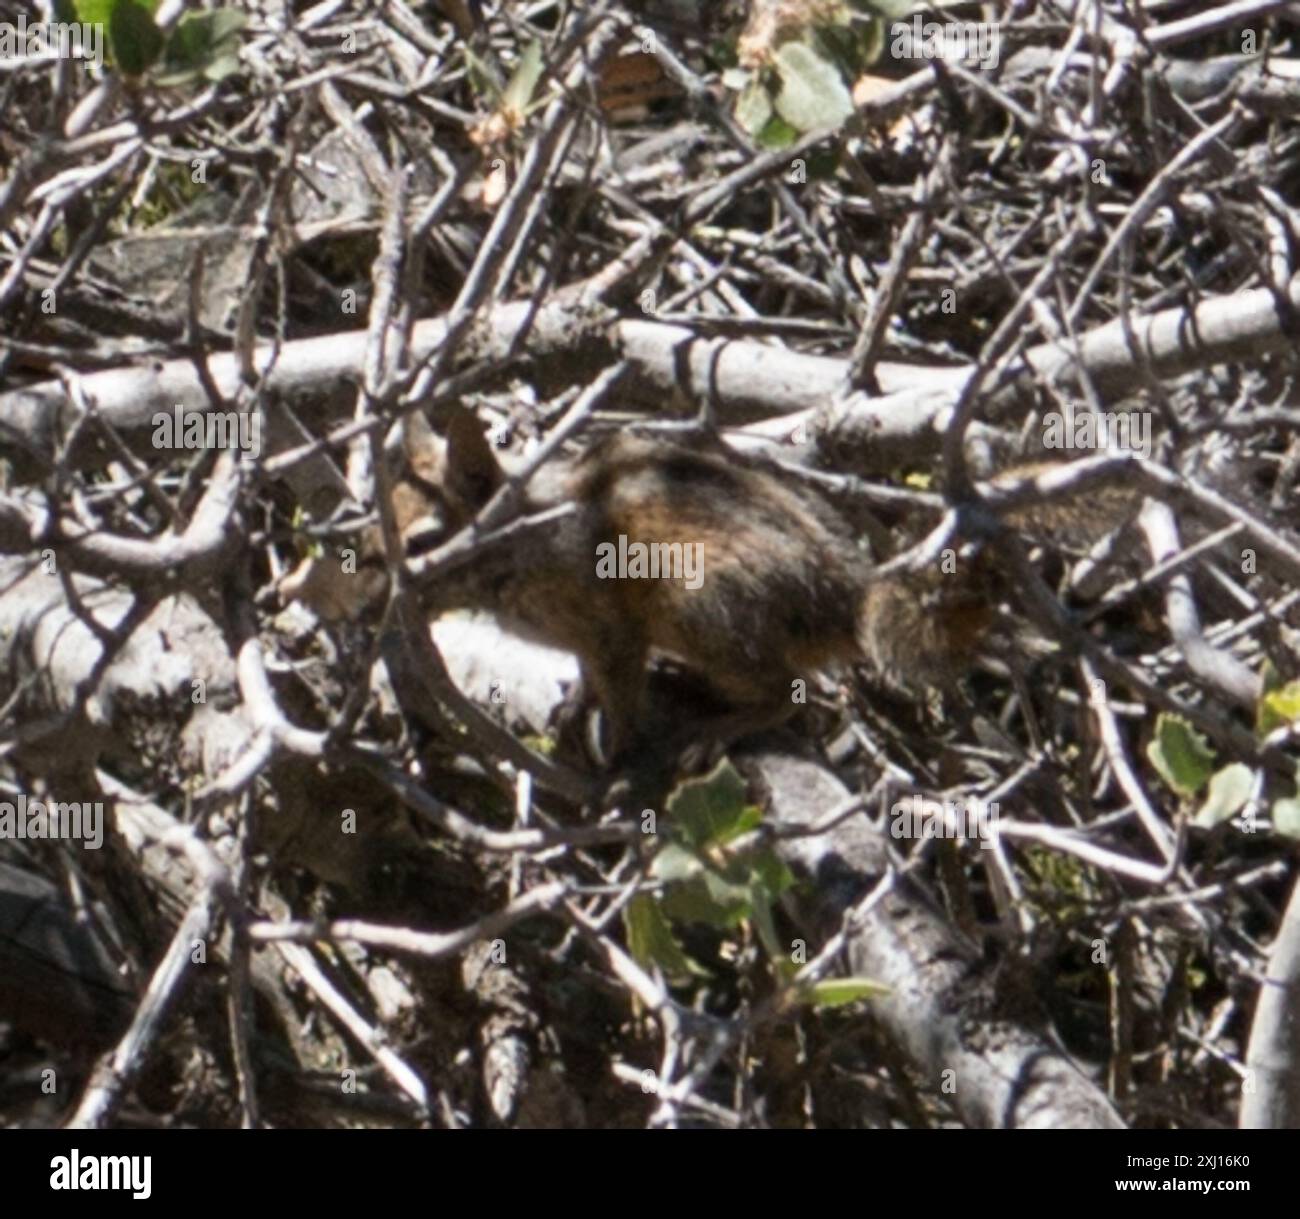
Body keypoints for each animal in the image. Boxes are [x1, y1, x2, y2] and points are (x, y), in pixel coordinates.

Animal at [280, 408, 1140, 764]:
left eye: (424, 542)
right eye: (373, 525)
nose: (360, 602)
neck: (521, 540)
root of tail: (851, 596)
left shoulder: (609, 622)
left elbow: (620, 680)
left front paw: (619, 743)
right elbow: (589, 677)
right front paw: (573, 709)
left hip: (703, 604)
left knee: (790, 692)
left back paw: (714, 727)